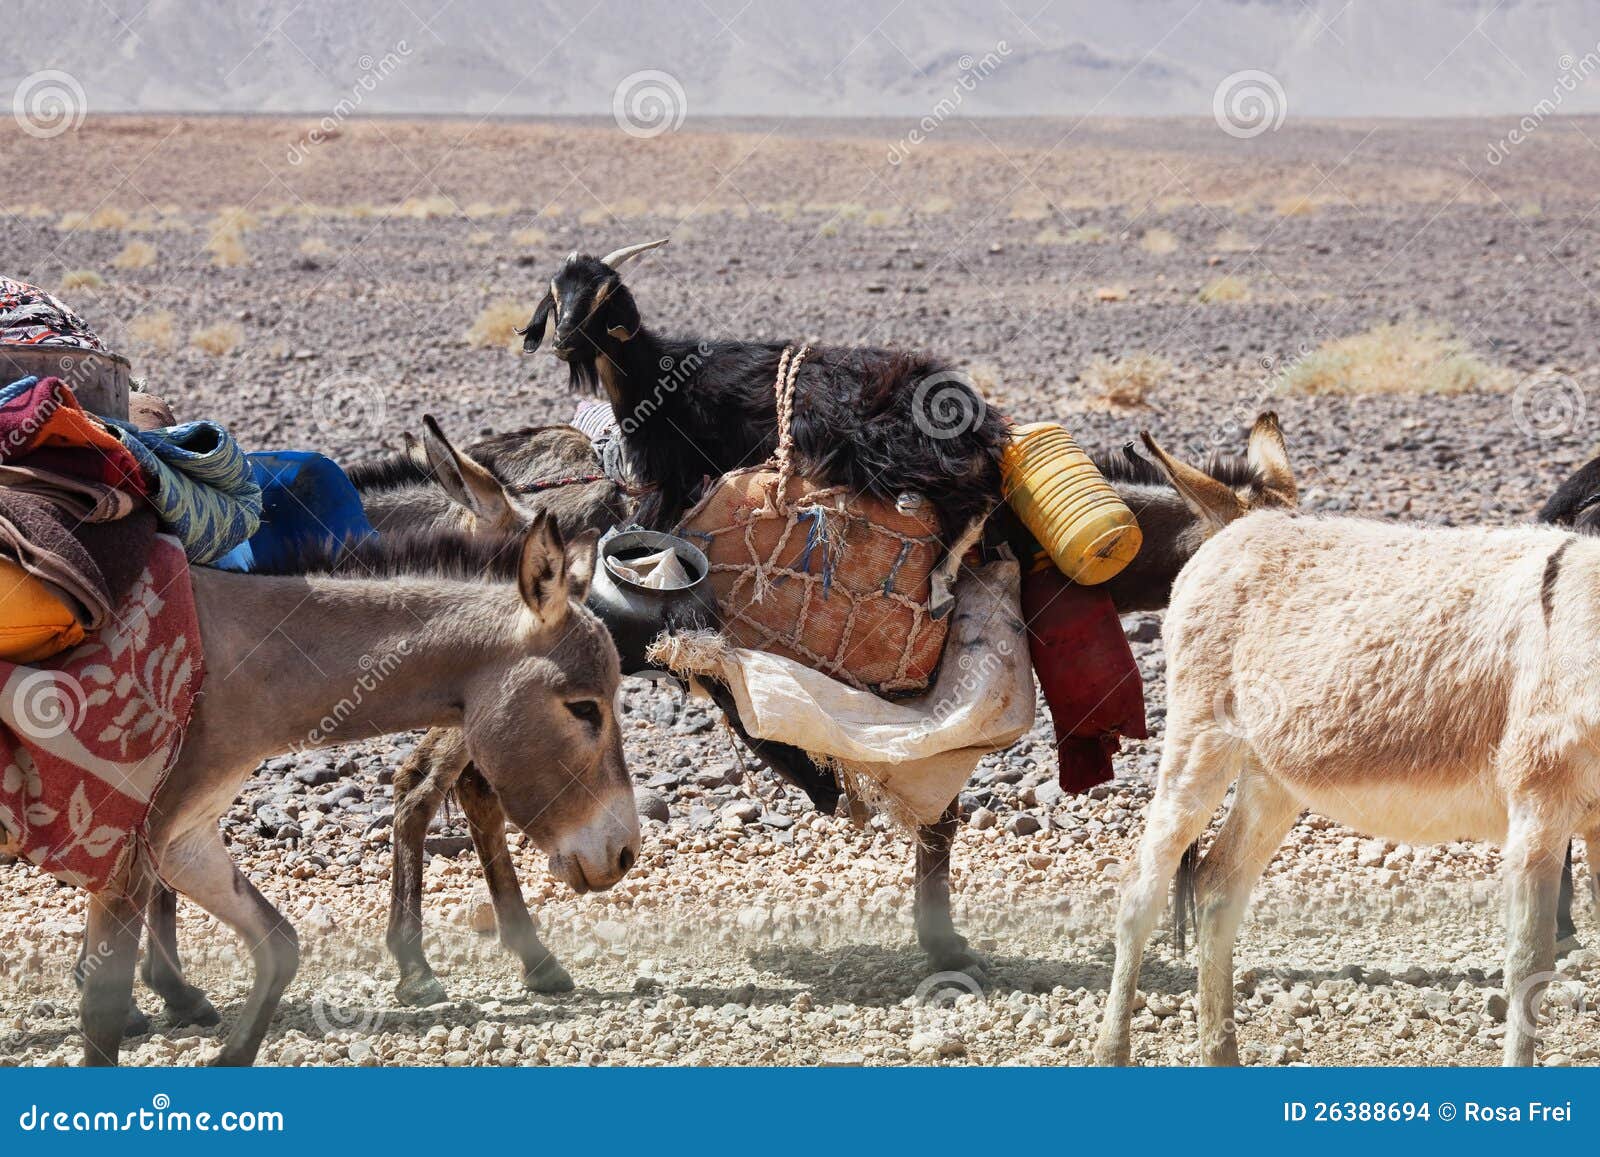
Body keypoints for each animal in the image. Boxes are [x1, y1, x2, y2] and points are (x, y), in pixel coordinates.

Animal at [517, 240, 1010, 545]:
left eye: (603, 299)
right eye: (556, 296)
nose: (562, 341)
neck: (653, 374)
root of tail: (974, 415)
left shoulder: (676, 474)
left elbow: (636, 525)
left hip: (877, 446)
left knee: (976, 502)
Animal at [1096, 470, 1600, 1066]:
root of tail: (1242, 526)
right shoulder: (1539, 808)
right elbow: (1528, 965)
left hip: (1273, 779)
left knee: (1218, 885)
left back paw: (1220, 1056)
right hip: (1200, 746)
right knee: (1141, 888)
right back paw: (1111, 1052)